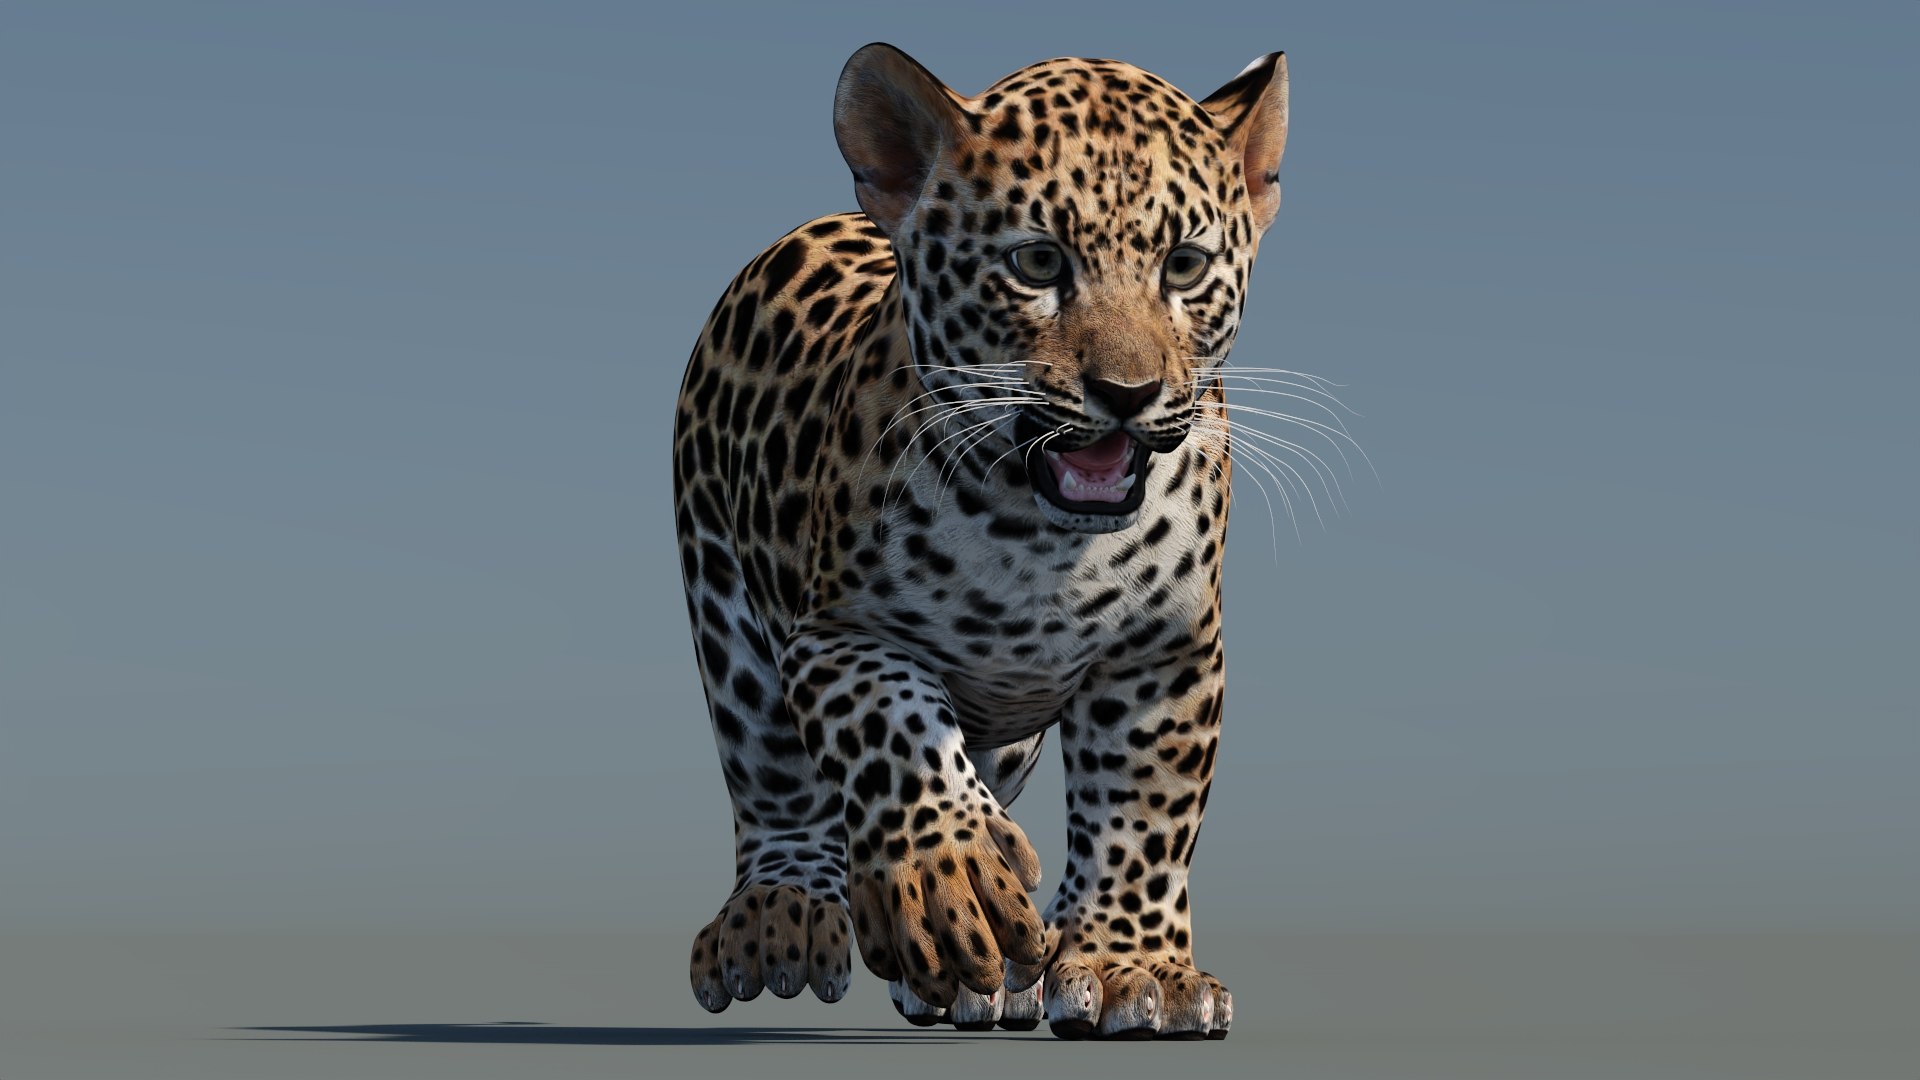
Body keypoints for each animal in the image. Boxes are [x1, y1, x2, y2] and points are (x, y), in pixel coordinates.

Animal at [672, 42, 1290, 1040]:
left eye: (1186, 265)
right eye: (1037, 262)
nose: (1128, 393)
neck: (1043, 544)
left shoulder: (1165, 651)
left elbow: (1143, 809)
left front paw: (1131, 967)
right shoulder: (837, 636)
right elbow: (892, 724)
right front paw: (946, 877)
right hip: (724, 613)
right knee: (772, 780)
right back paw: (783, 917)